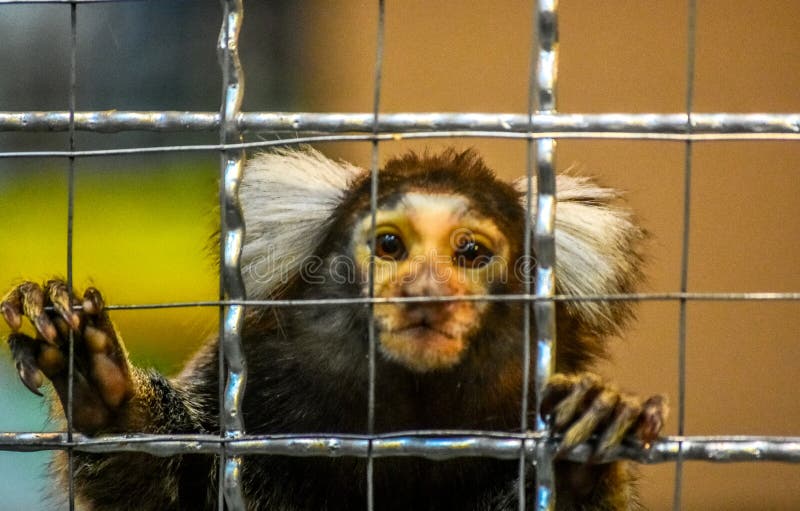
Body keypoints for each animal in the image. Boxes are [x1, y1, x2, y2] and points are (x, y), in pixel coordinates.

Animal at [2, 147, 667, 510]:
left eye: (471, 253)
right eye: (391, 246)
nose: (425, 294)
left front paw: (584, 448)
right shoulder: (244, 383)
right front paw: (102, 390)